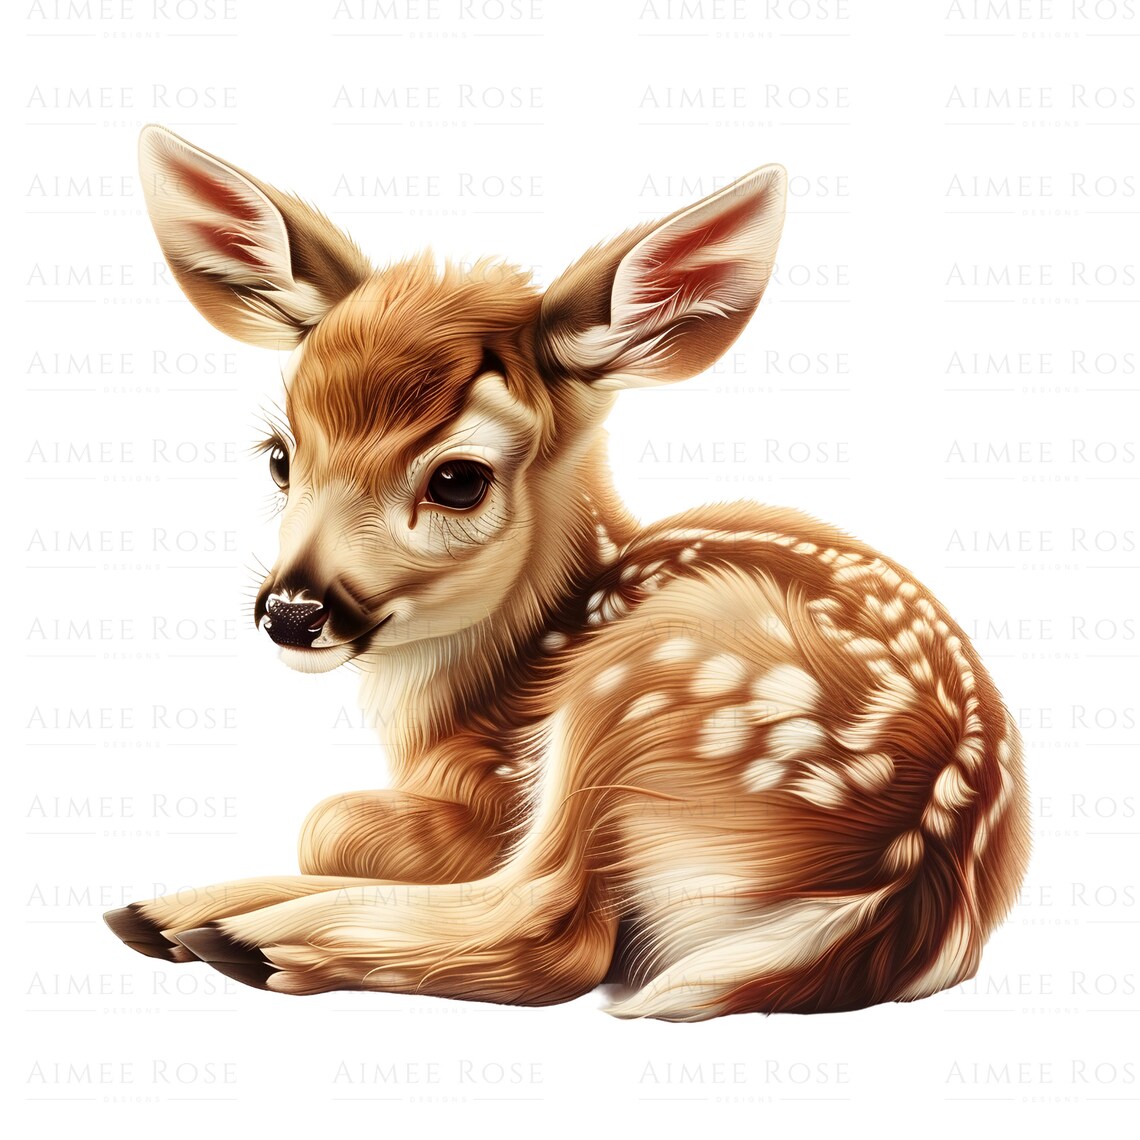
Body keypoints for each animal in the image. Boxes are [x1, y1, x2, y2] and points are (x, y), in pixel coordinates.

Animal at [103, 125, 1030, 1020]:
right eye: (279, 458)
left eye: (458, 478)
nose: (292, 611)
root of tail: (905, 892)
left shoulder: (500, 793)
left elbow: (332, 821)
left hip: (638, 695)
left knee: (554, 936)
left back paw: (231, 932)